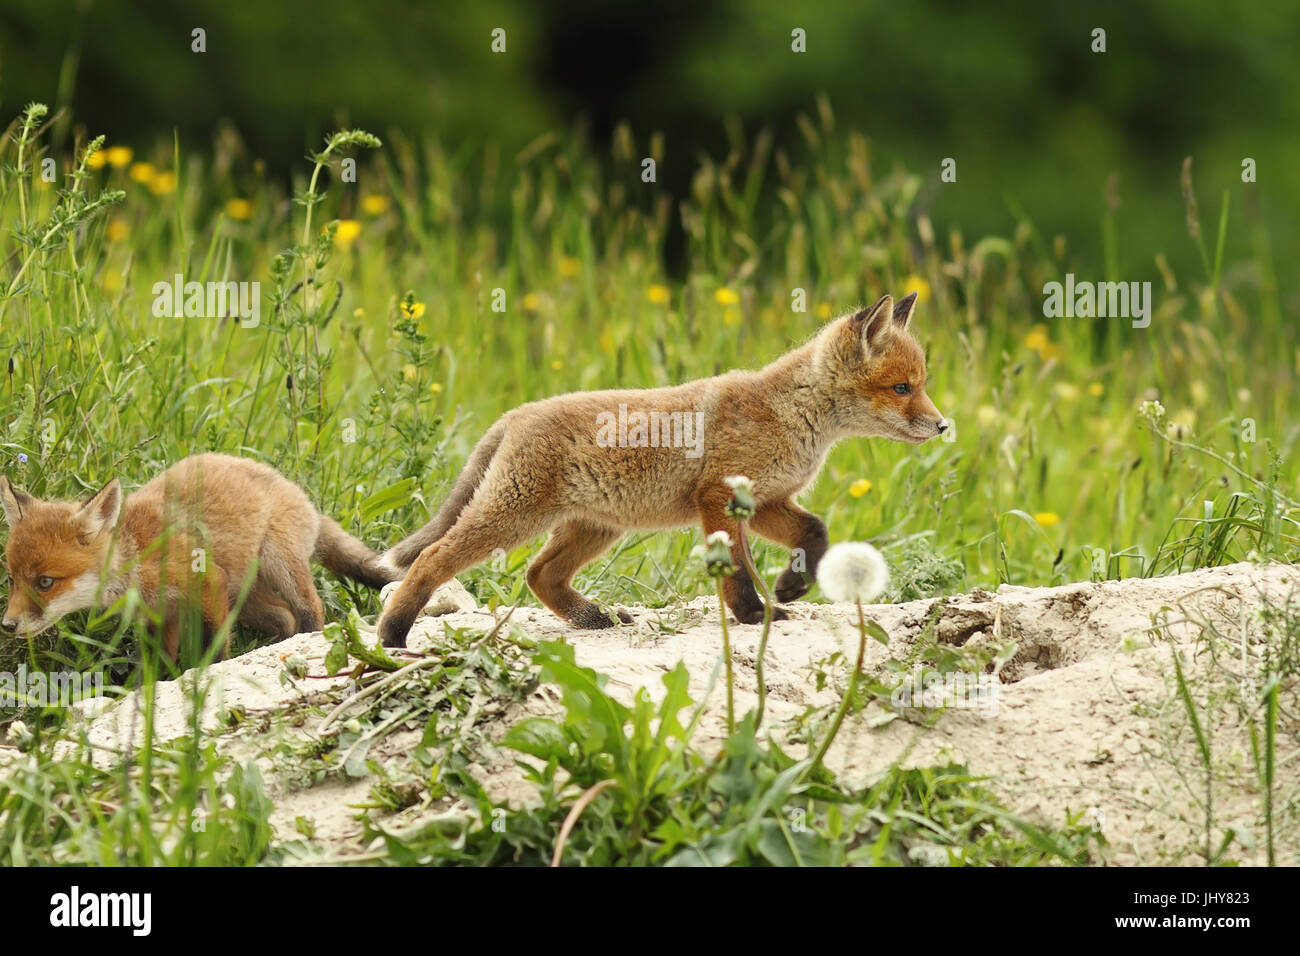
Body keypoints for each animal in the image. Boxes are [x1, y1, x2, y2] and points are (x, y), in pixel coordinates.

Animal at [1, 453, 396, 660]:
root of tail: (299, 493)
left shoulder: (207, 585)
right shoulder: (160, 615)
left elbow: (214, 649)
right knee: (284, 617)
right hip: (246, 598)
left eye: (46, 582)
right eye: (12, 579)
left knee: (310, 610)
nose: (7, 625)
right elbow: (157, 663)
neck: (138, 557)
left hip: (280, 567)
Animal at [374, 292, 946, 648]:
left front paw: (790, 587)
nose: (944, 426)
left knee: (540, 575)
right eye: (903, 388)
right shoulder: (719, 497)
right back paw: (392, 634)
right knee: (431, 558)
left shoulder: (766, 502)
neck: (792, 416)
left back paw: (596, 619)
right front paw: (754, 614)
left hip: (594, 528)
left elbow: (817, 533)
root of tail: (516, 413)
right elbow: (736, 570)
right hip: (514, 517)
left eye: (920, 384)